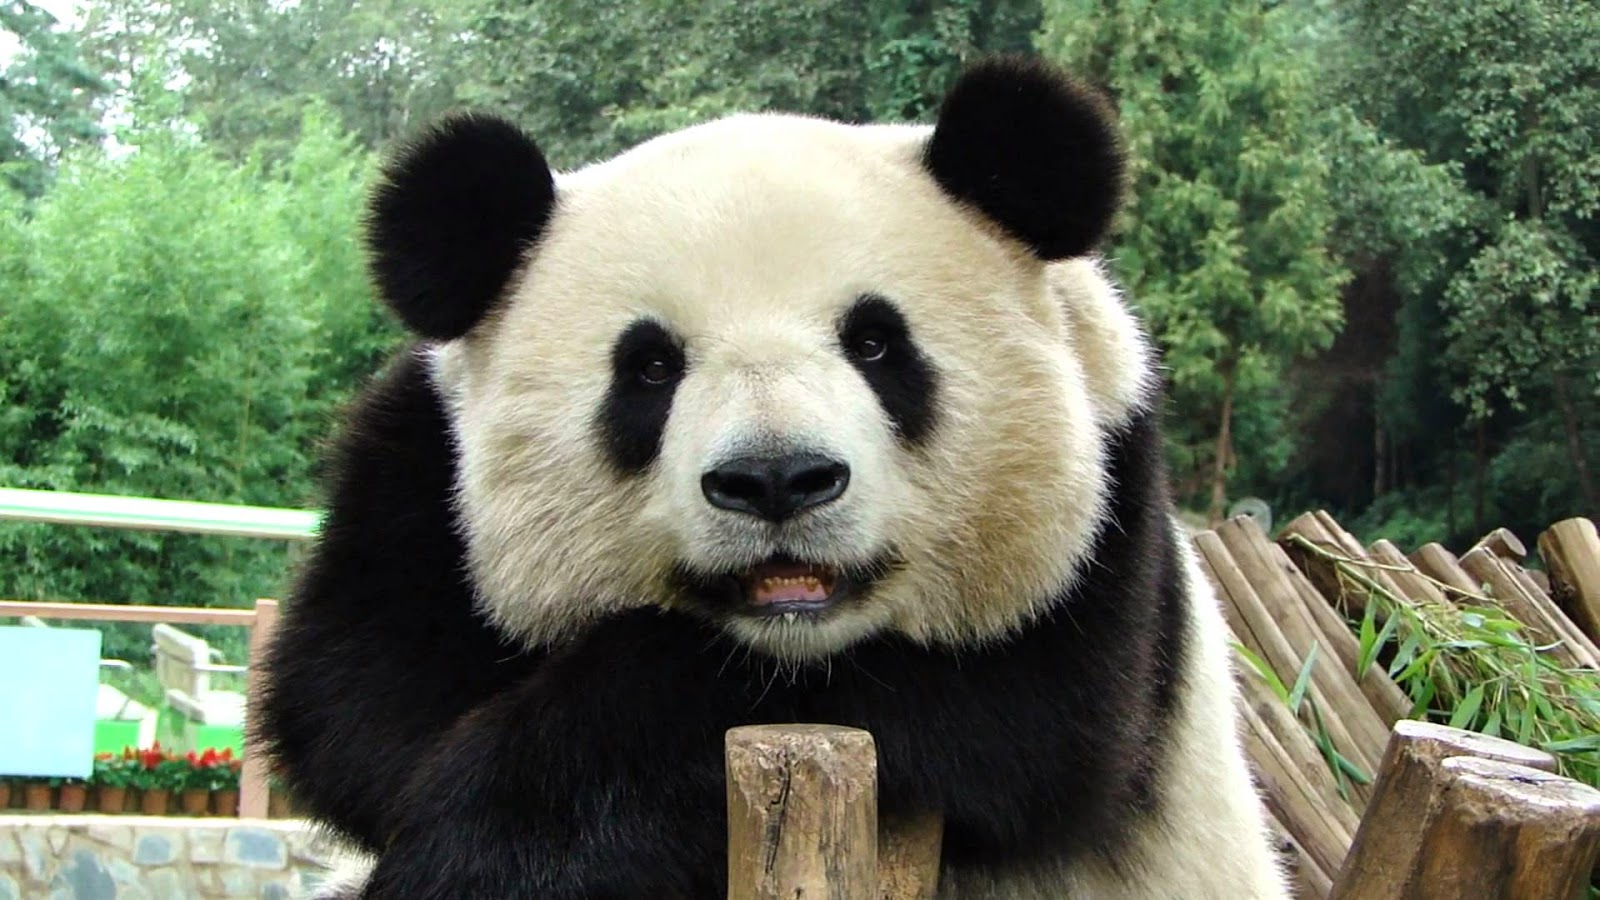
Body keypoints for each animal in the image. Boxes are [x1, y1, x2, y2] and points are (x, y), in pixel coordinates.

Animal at [257, 56, 1290, 899]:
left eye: (876, 344)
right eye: (649, 368)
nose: (777, 480)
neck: (783, 641)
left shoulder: (1107, 527)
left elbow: (1025, 725)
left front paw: (489, 850)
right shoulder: (420, 476)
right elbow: (352, 696)